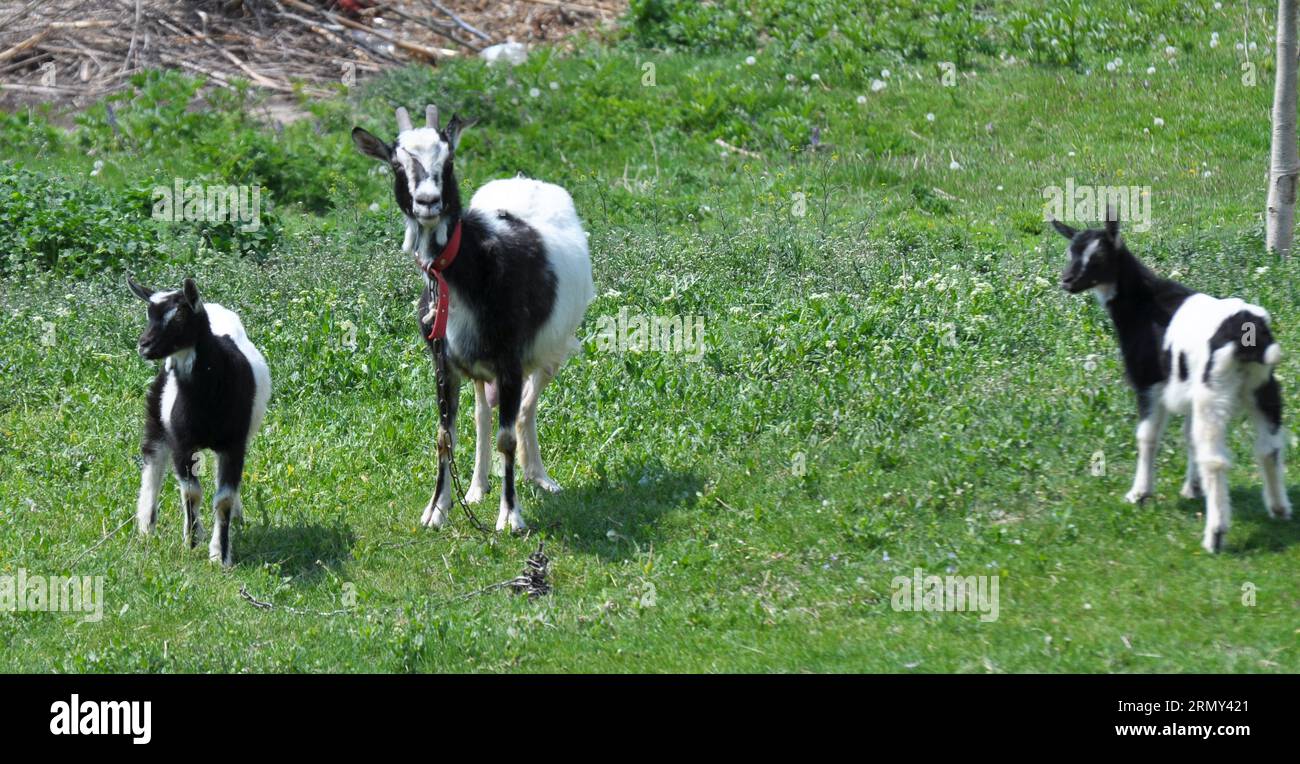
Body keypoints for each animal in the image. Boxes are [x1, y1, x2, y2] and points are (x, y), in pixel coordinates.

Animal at [128, 276, 271, 566]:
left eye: (180, 316)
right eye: (148, 314)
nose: (144, 346)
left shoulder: (234, 444)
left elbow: (224, 497)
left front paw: (220, 554)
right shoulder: (182, 443)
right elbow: (191, 493)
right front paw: (192, 542)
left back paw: (237, 517)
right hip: (157, 412)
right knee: (153, 462)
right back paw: (146, 527)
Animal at [352, 104, 594, 532]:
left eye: (448, 161)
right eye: (397, 163)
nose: (428, 202)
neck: (472, 270)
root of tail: (525, 180)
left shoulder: (511, 360)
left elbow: (506, 438)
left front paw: (510, 516)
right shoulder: (443, 361)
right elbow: (444, 436)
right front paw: (437, 509)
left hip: (553, 348)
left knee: (526, 409)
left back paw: (540, 477)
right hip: (480, 367)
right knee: (483, 414)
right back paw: (478, 488)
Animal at [1052, 214, 1291, 553]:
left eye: (1098, 257)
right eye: (1070, 252)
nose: (1067, 281)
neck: (1143, 305)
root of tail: (1250, 333)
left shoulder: (1149, 382)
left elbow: (1147, 436)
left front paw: (1139, 493)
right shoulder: (1185, 385)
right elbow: (1188, 437)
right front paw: (1192, 488)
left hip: (1213, 392)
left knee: (1215, 459)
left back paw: (1215, 534)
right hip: (1263, 386)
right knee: (1269, 447)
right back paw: (1279, 508)